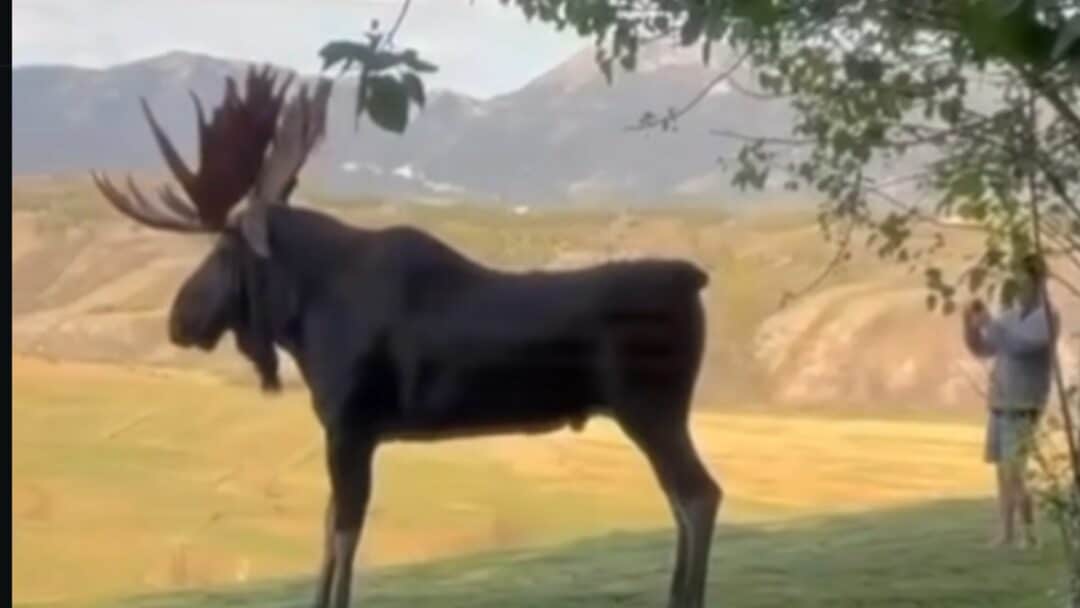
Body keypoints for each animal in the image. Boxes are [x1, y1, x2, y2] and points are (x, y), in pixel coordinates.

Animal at [90, 66, 721, 608]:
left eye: (223, 251)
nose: (178, 319)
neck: (305, 318)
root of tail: (695, 278)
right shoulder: (347, 430)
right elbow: (329, 526)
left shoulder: (352, 424)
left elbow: (344, 532)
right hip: (651, 413)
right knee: (681, 499)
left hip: (651, 407)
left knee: (699, 495)